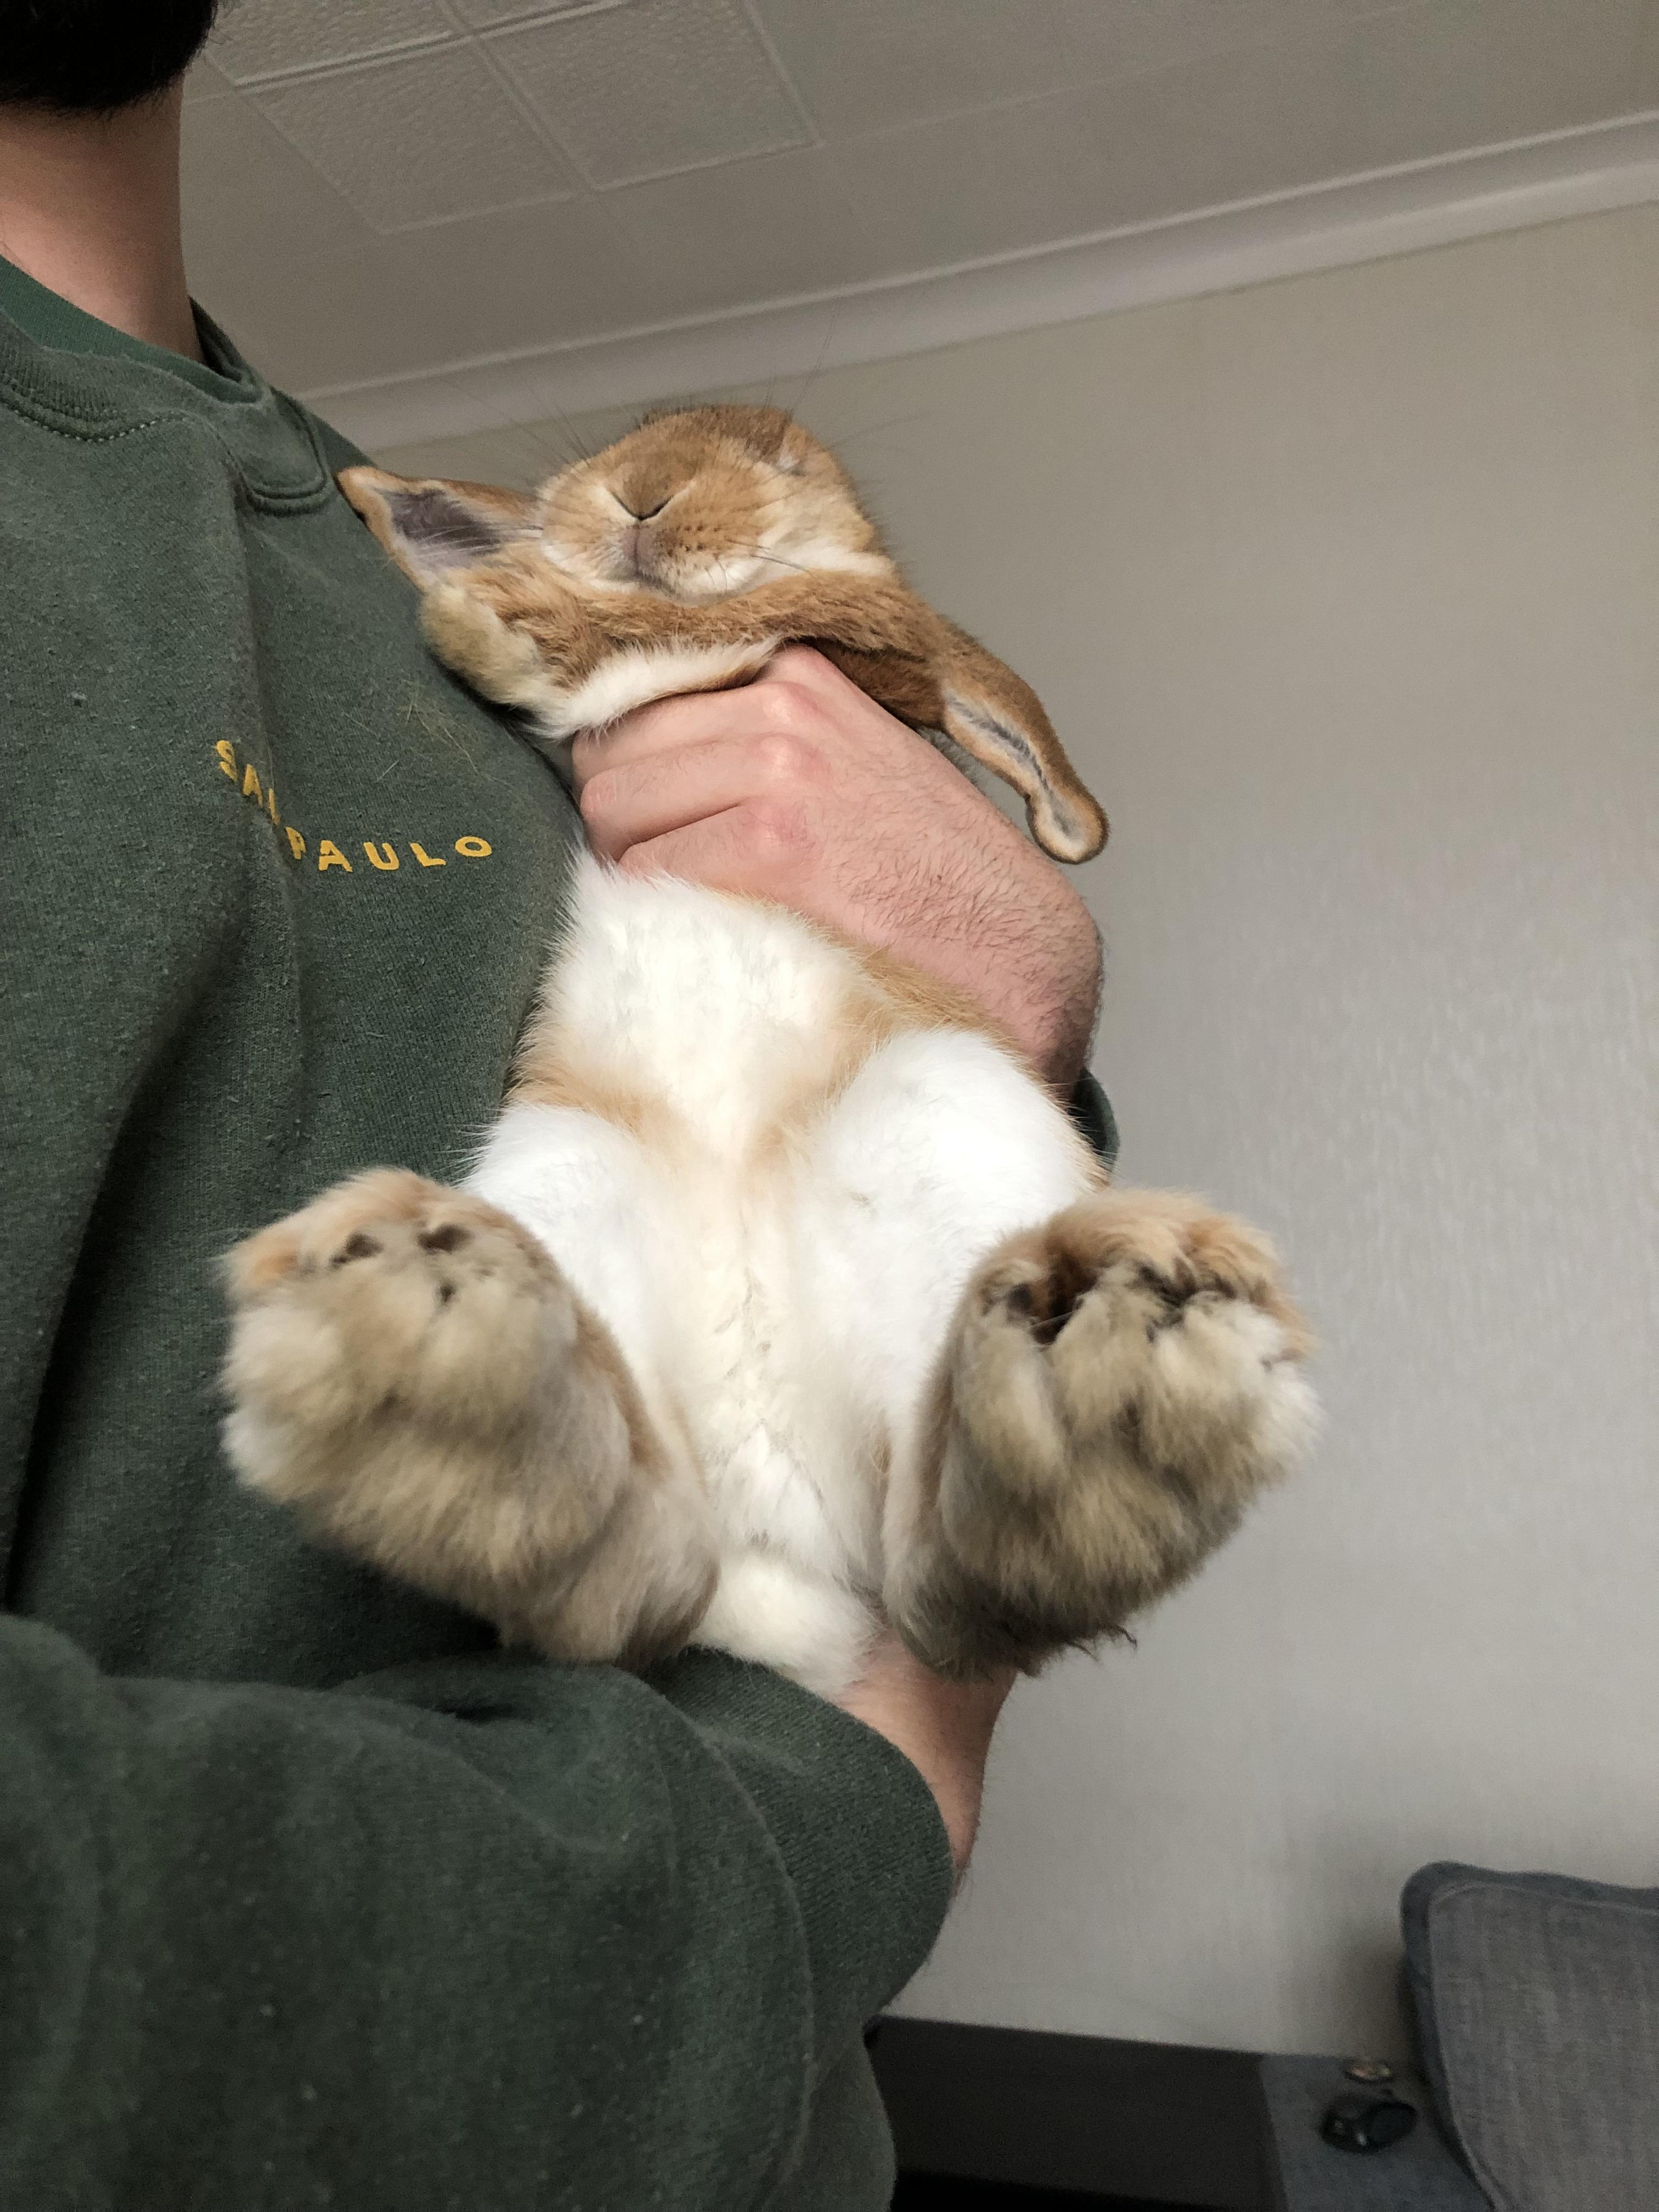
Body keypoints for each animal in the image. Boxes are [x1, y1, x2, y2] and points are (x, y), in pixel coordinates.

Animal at [220, 405, 1316, 1697]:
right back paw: (448, 1396)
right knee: (637, 1560)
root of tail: (777, 1558)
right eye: (618, 448)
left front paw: (490, 620)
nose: (638, 496)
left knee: (951, 1570)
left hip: (944, 1106)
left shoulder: (843, 635)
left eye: (781, 457)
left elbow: (692, 626)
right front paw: (507, 599)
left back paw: (1105, 1388)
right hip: (572, 1171)